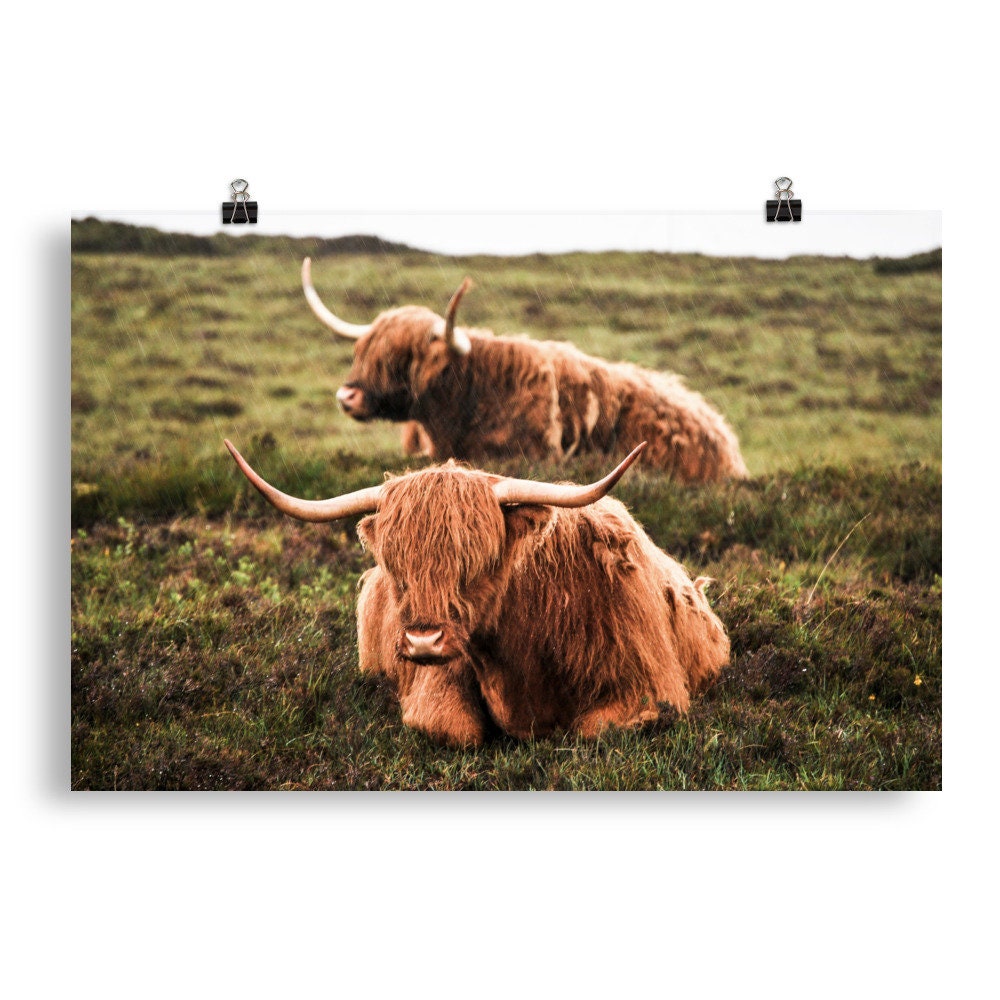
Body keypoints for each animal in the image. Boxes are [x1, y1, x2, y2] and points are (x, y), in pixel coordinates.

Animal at [225, 438, 730, 746]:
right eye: (397, 566)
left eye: (475, 562)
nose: (423, 641)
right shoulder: (438, 683)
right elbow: (455, 729)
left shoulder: (648, 689)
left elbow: (592, 729)